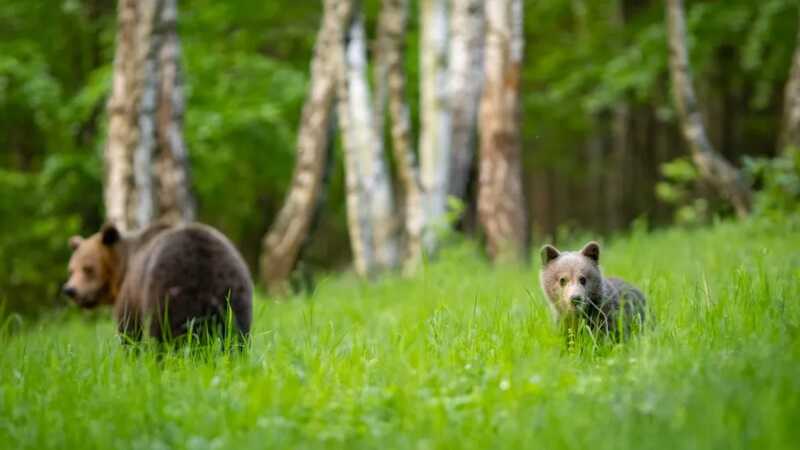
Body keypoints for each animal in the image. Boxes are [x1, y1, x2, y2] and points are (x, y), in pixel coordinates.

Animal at [65, 222, 253, 344]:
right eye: (71, 269)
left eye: (88, 268)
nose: (70, 290)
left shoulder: (132, 292)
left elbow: (129, 329)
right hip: (233, 291)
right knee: (236, 333)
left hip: (168, 289)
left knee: (165, 332)